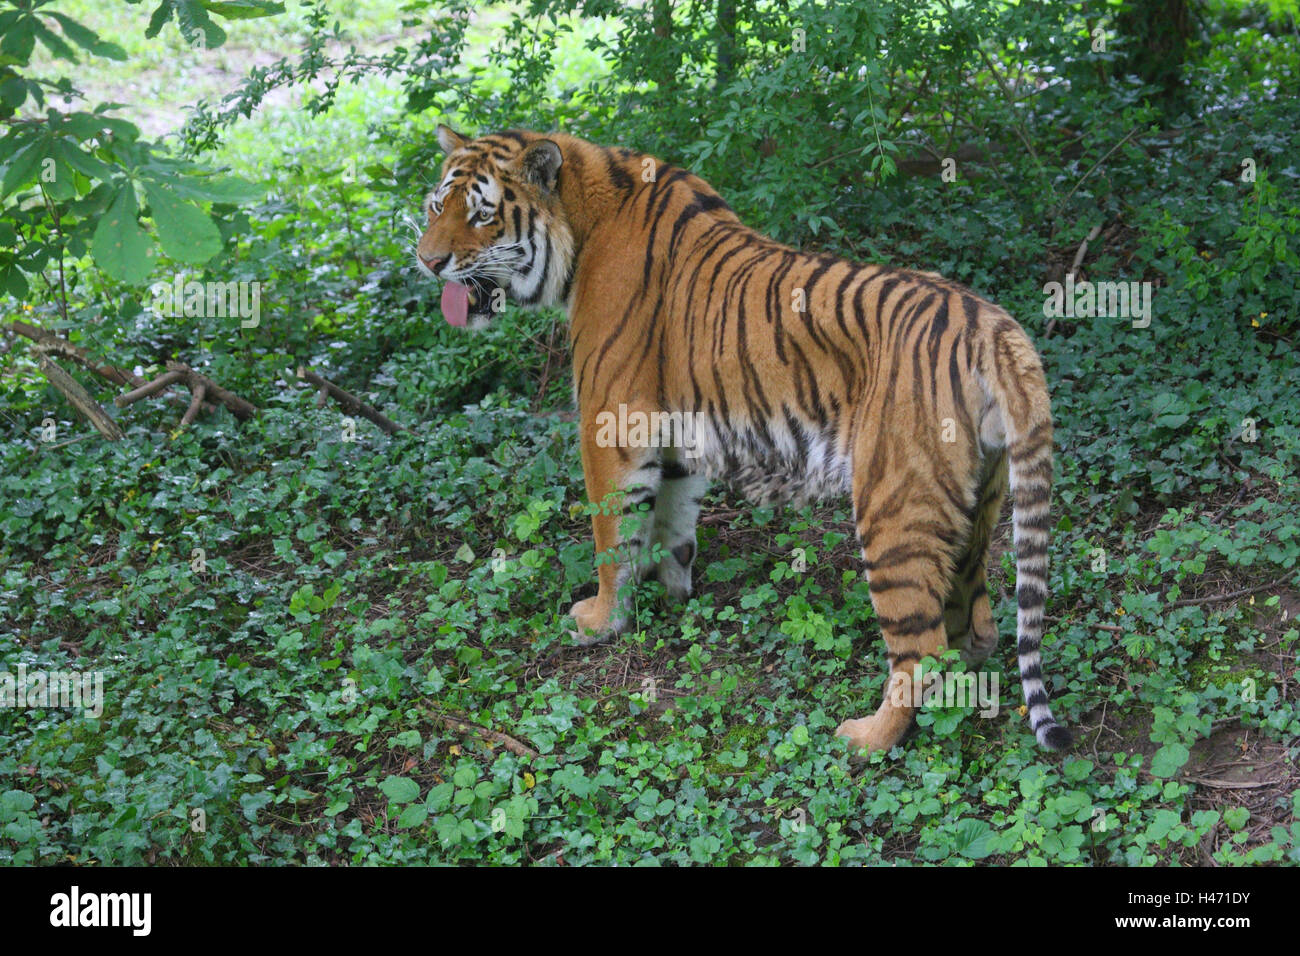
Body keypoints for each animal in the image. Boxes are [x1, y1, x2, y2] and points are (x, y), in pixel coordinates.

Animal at [415, 125, 1071, 755]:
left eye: (482, 215)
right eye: (436, 206)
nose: (427, 262)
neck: (583, 225)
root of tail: (995, 326)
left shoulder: (612, 421)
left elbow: (611, 537)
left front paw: (600, 621)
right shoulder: (677, 429)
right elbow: (671, 523)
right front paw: (672, 593)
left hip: (895, 502)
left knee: (923, 653)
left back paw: (866, 738)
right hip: (980, 501)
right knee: (978, 625)